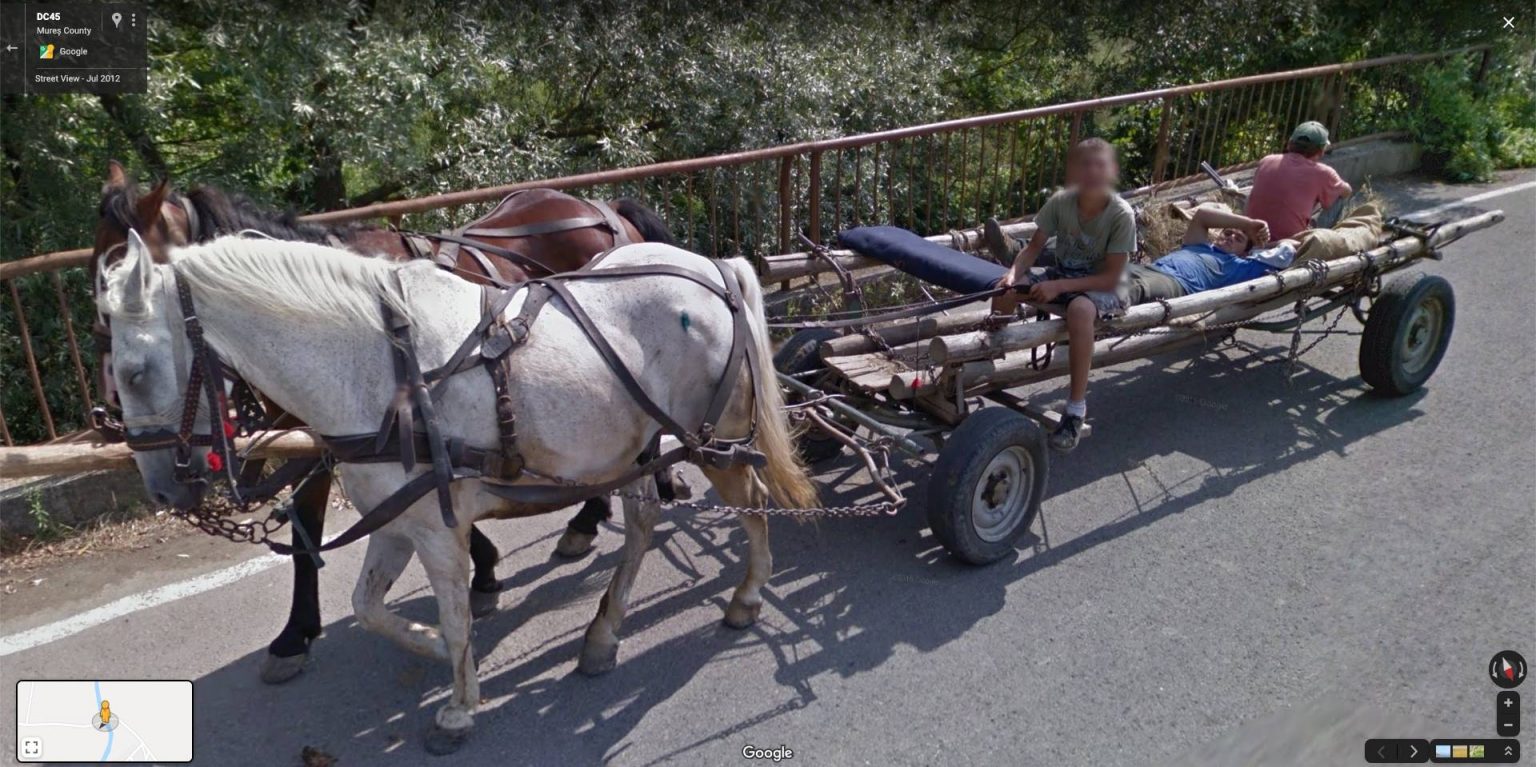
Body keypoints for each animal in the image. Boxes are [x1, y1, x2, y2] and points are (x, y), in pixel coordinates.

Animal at [89, 161, 679, 683]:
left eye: (117, 281)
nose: (107, 406)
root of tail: (597, 205)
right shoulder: (330, 440)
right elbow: (312, 533)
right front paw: (296, 635)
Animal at [99, 231, 815, 754]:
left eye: (133, 371)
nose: (162, 490)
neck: (388, 378)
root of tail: (713, 270)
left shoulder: (437, 531)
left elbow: (451, 610)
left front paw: (458, 705)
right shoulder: (396, 523)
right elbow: (370, 607)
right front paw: (443, 653)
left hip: (714, 440)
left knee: (749, 500)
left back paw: (747, 597)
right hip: (633, 449)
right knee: (641, 525)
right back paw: (603, 634)